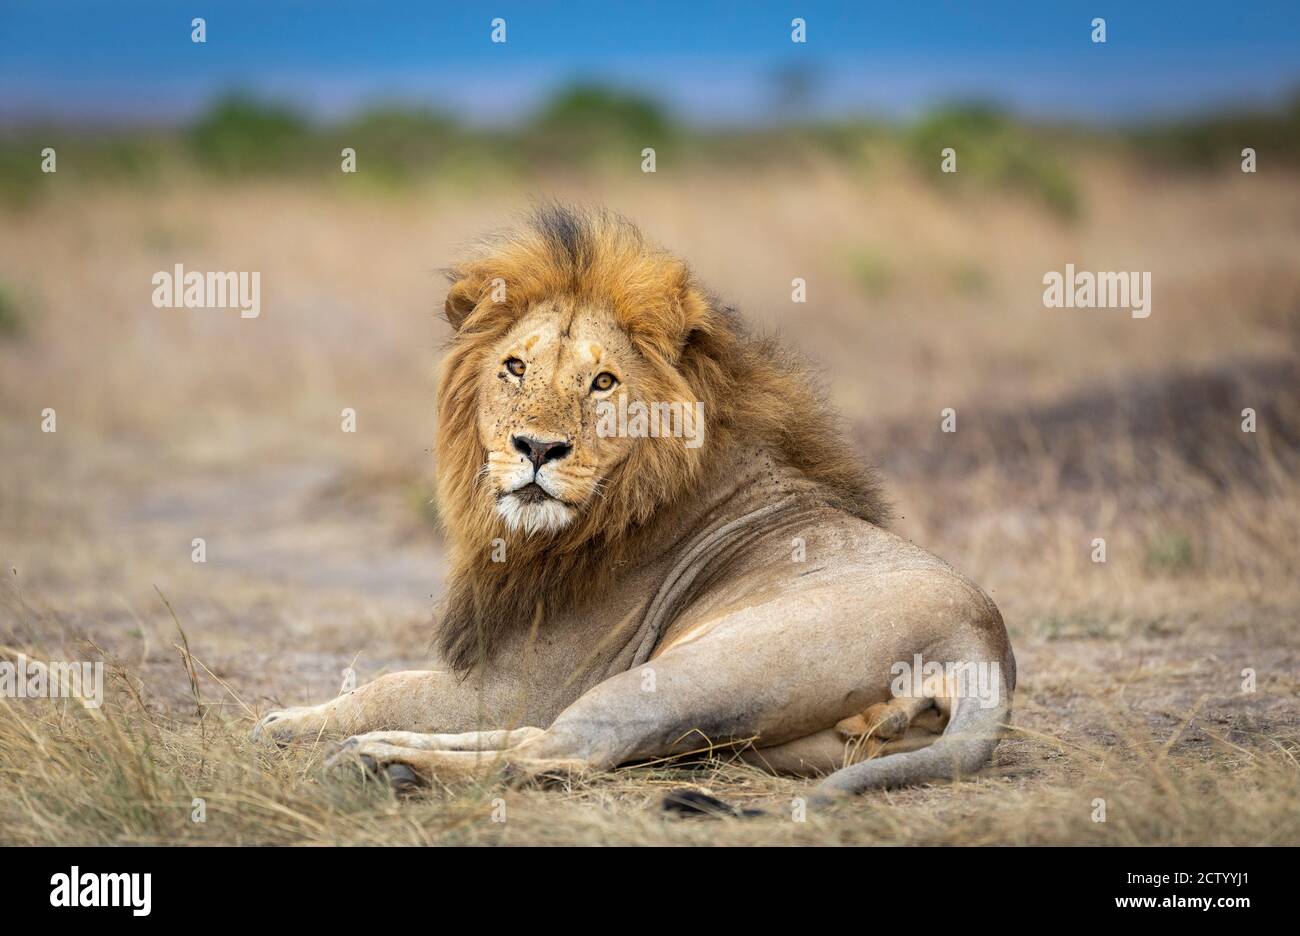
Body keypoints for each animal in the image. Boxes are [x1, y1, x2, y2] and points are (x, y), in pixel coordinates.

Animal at [253, 204, 1016, 804]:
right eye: (515, 367)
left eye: (603, 382)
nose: (537, 448)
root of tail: (981, 646)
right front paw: (292, 722)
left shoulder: (531, 679)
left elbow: (391, 681)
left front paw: (286, 721)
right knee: (544, 740)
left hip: (686, 672)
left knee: (559, 749)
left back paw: (380, 765)